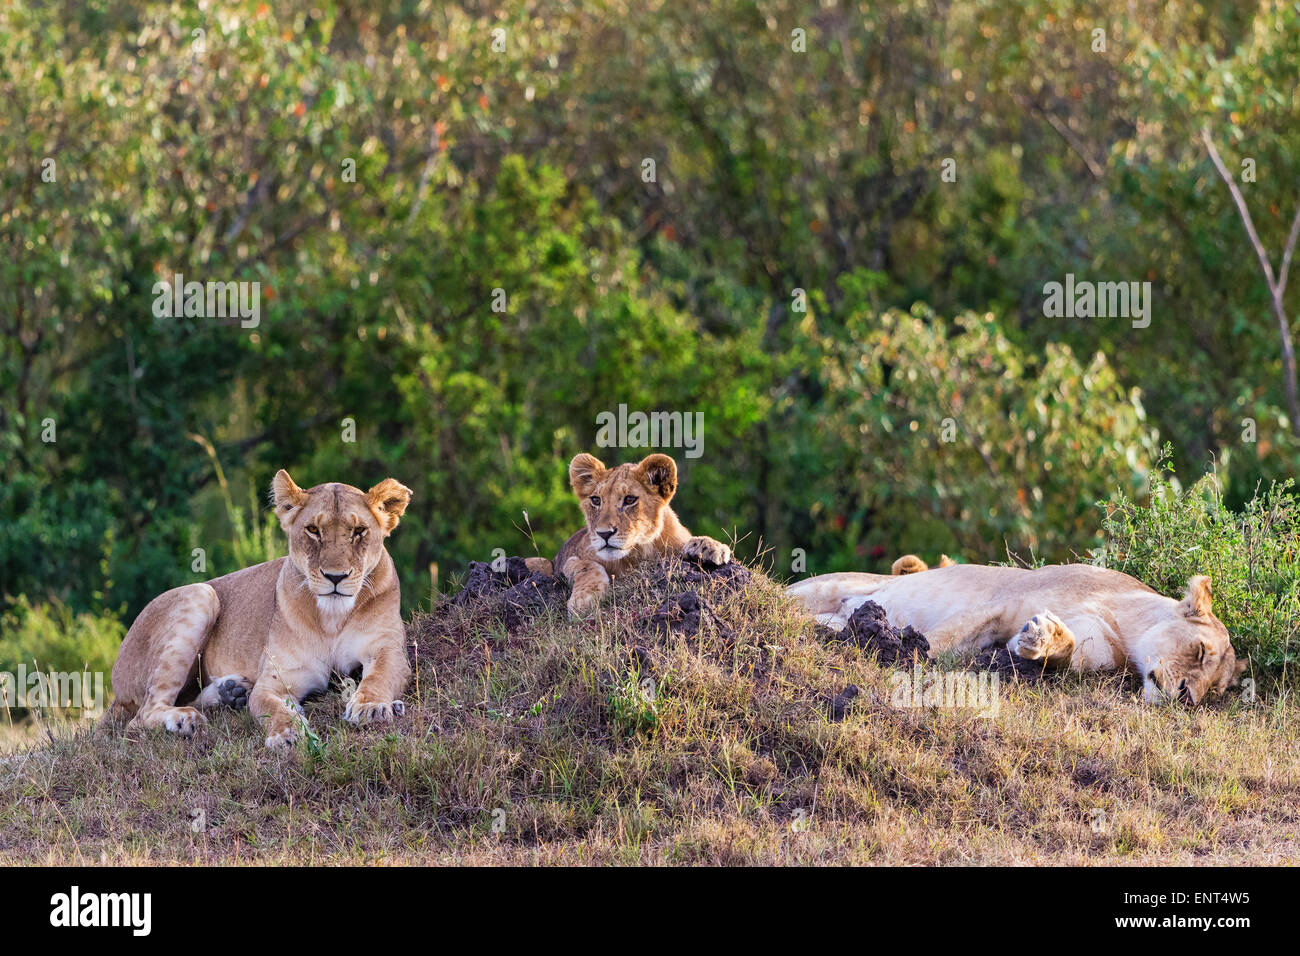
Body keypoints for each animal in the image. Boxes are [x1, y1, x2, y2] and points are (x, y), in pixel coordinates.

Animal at [104, 470, 413, 747]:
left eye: (359, 531)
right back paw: (185, 719)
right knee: (142, 716)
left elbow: (379, 676)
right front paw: (286, 734)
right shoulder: (276, 678)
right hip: (201, 593)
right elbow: (271, 707)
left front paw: (370, 708)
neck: (332, 617)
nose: (335, 577)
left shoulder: (387, 649)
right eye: (313, 530)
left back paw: (230, 693)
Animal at [546, 452, 732, 616]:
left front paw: (710, 547)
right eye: (596, 500)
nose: (604, 534)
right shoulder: (568, 561)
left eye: (629, 499)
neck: (640, 552)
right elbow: (587, 567)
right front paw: (583, 602)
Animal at [787, 562, 1246, 705]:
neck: (1125, 626)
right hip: (821, 588)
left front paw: (1042, 640)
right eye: (1200, 651)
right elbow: (942, 641)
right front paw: (904, 653)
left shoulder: (1098, 653)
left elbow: (1069, 650)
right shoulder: (1002, 601)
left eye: (1215, 691)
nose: (1187, 698)